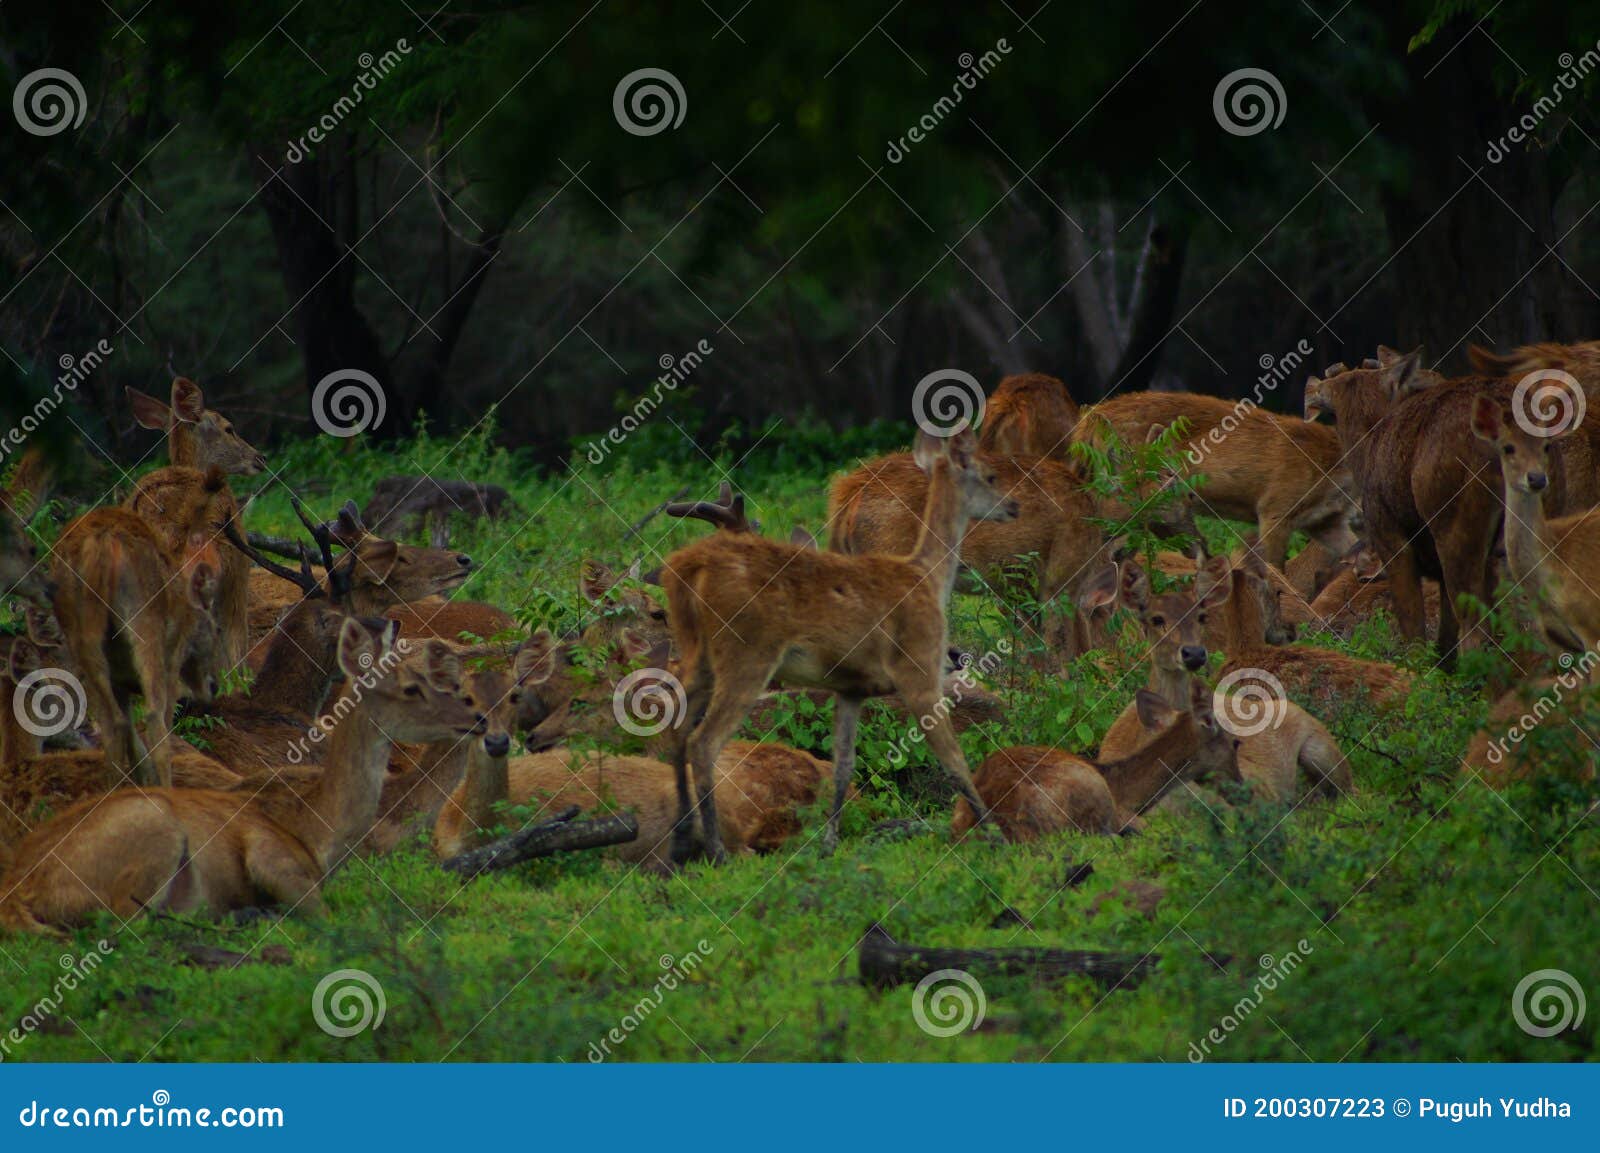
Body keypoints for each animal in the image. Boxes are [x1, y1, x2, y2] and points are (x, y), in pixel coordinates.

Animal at [0, 619, 483, 932]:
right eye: (412, 686)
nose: (475, 719)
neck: (320, 828)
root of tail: (17, 891)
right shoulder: (277, 861)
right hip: (152, 830)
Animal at [49, 508, 224, 789]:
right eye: (217, 629)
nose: (214, 685)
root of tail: (103, 541)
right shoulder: (173, 660)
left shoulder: (120, 679)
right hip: (145, 620)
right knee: (154, 717)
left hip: (79, 634)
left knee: (112, 725)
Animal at [663, 426, 1018, 863]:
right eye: (989, 476)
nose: (1014, 505)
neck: (926, 576)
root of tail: (684, 571)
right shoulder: (918, 671)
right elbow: (956, 759)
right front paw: (997, 837)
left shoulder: (851, 688)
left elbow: (843, 763)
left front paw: (828, 844)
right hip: (747, 654)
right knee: (704, 742)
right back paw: (715, 849)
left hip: (700, 656)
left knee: (677, 729)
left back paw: (682, 840)